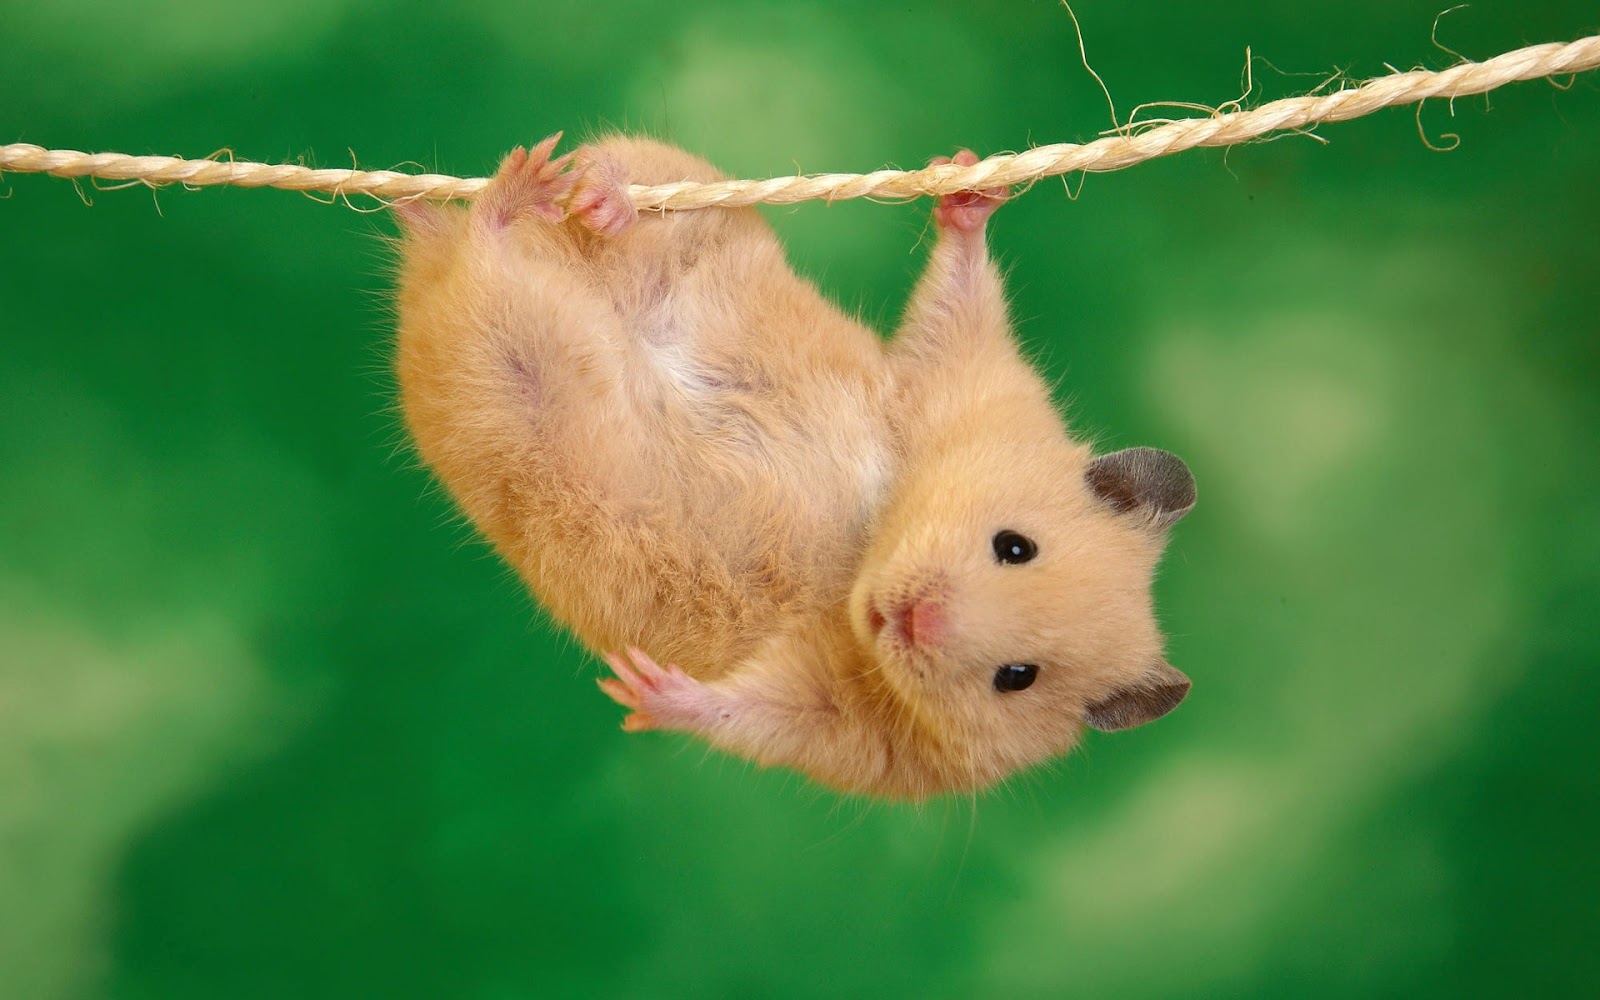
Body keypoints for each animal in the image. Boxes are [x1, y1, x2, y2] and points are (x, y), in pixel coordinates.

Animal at [391, 134, 1195, 800]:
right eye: (1015, 546)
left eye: (1016, 678)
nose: (912, 619)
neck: (866, 553)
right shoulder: (957, 383)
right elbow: (957, 303)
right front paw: (969, 183)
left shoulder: (848, 729)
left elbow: (752, 712)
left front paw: (641, 688)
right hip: (693, 210)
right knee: (618, 185)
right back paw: (572, 192)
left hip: (501, 374)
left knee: (482, 269)